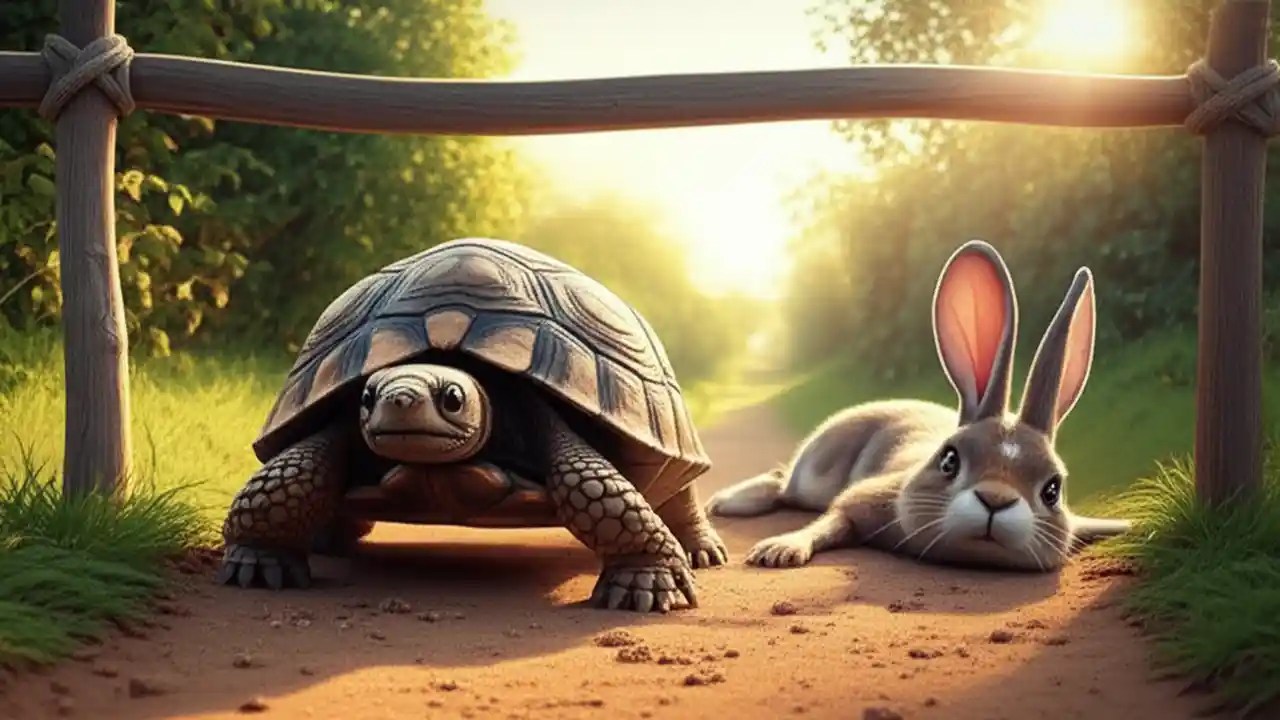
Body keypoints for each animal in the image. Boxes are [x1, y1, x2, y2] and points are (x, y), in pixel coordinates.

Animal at [704, 239, 1132, 572]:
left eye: (1052, 490)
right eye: (949, 460)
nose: (995, 501)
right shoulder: (863, 498)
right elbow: (830, 523)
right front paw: (779, 550)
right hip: (815, 473)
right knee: (782, 483)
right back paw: (725, 502)